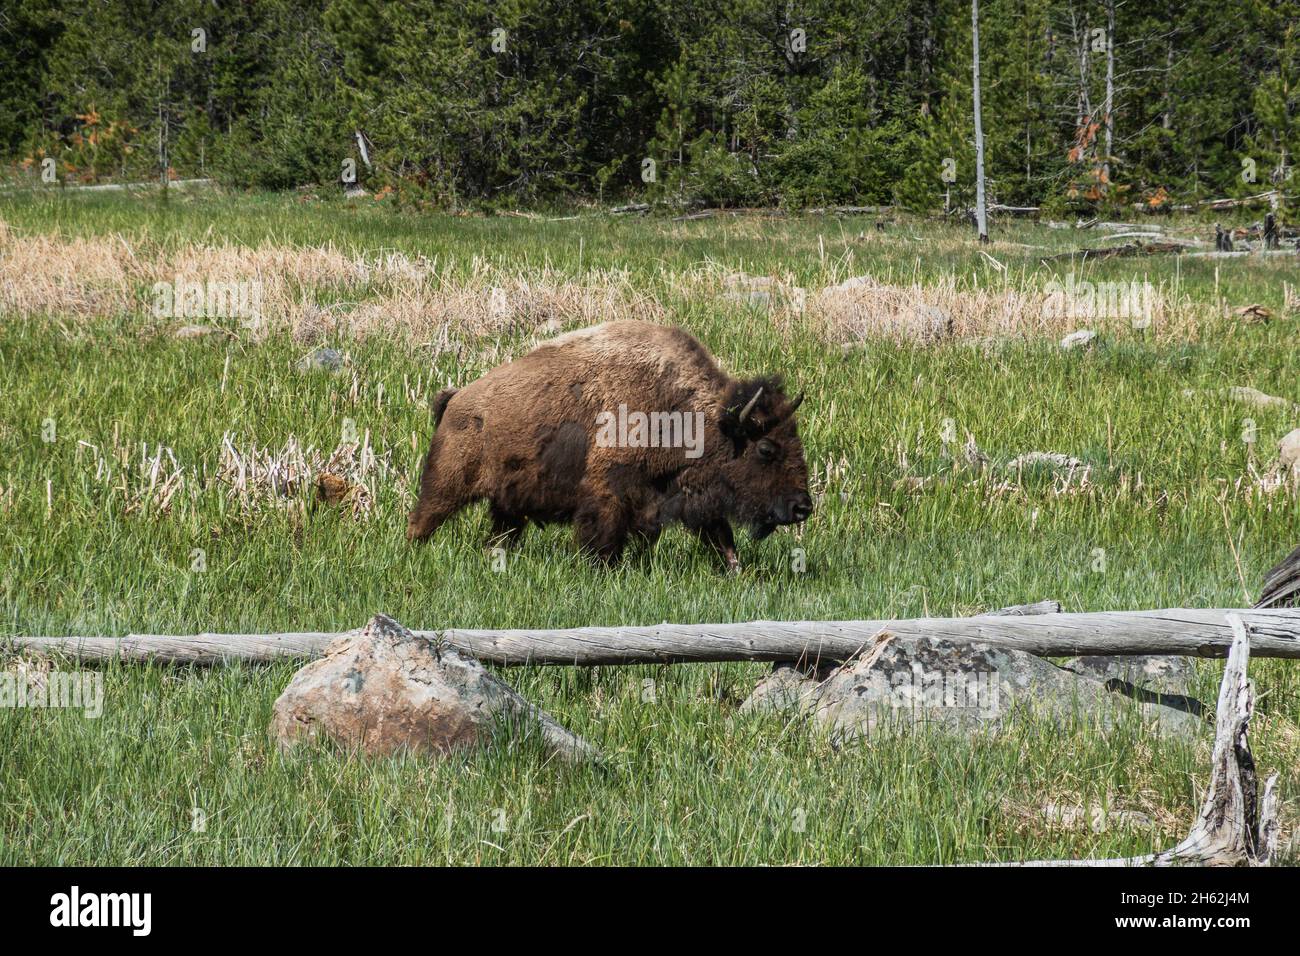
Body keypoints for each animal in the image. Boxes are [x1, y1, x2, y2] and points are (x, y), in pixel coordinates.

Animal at [407, 320, 812, 569]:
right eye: (765, 449)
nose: (802, 507)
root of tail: (455, 399)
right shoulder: (608, 494)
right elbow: (604, 537)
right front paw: (603, 571)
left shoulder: (693, 496)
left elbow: (720, 537)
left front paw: (734, 569)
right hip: (446, 487)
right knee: (423, 520)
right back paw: (414, 553)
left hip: (509, 507)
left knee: (500, 535)